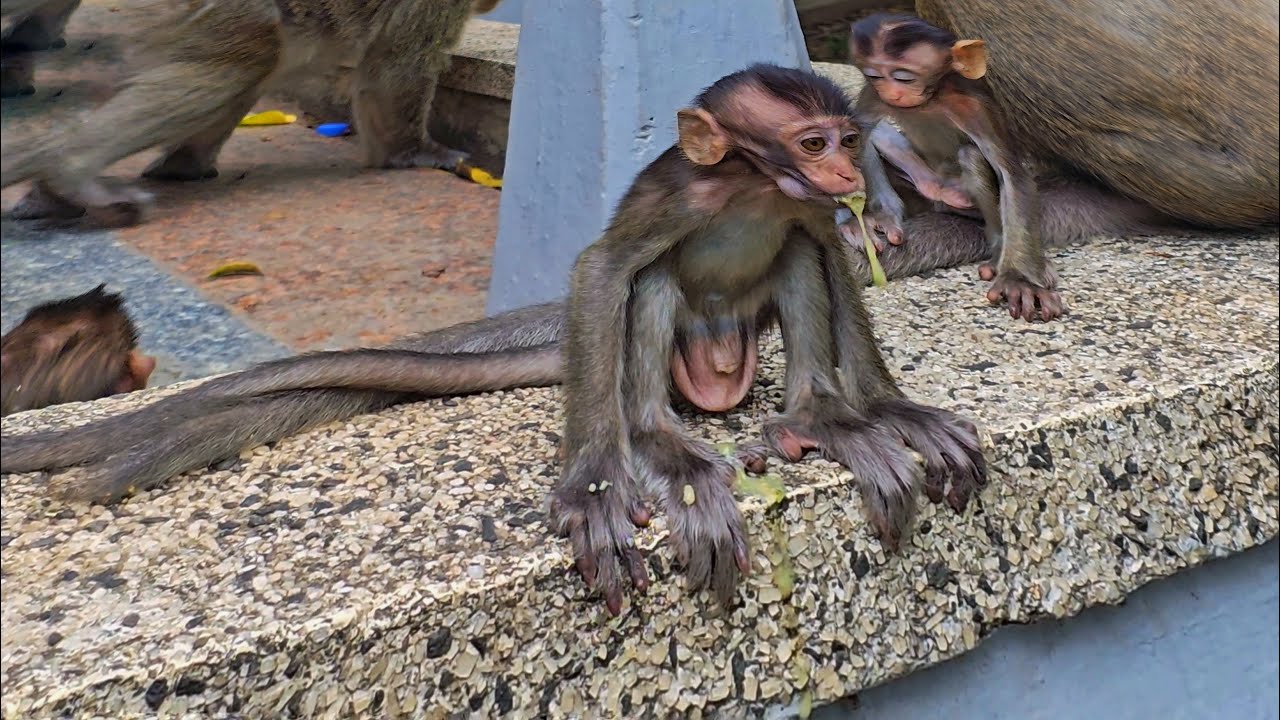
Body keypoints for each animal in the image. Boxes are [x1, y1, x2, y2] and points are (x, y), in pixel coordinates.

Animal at [848, 13, 1062, 322]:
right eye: (875, 75)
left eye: (903, 77)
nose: (893, 93)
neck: (931, 99)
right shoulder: (873, 95)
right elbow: (859, 139)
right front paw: (879, 217)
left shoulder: (974, 106)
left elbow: (1012, 175)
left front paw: (1019, 279)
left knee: (971, 155)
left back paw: (998, 249)